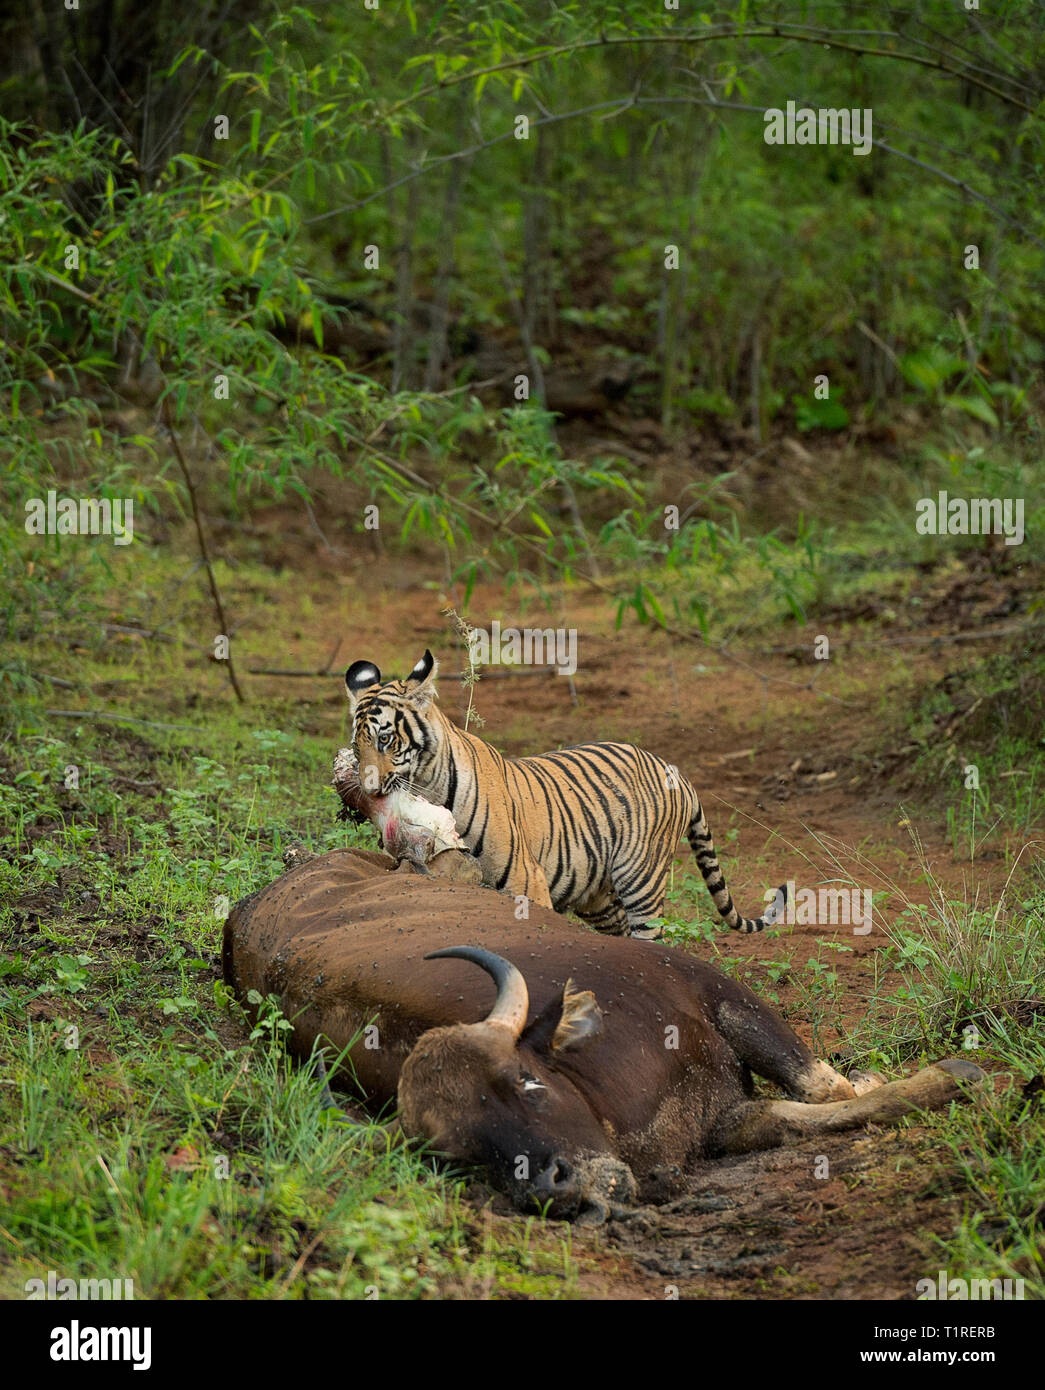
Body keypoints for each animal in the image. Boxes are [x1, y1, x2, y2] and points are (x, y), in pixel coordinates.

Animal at [223, 847, 984, 1221]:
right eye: (456, 1155)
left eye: (526, 1083)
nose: (560, 1188)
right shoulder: (716, 1117)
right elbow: (794, 1118)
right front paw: (940, 1080)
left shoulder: (710, 987)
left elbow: (820, 1087)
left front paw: (934, 1077)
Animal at [345, 649, 787, 940]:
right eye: (357, 746)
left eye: (385, 739)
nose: (368, 790)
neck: (427, 784)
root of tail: (674, 770)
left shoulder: (525, 882)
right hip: (598, 896)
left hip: (641, 881)